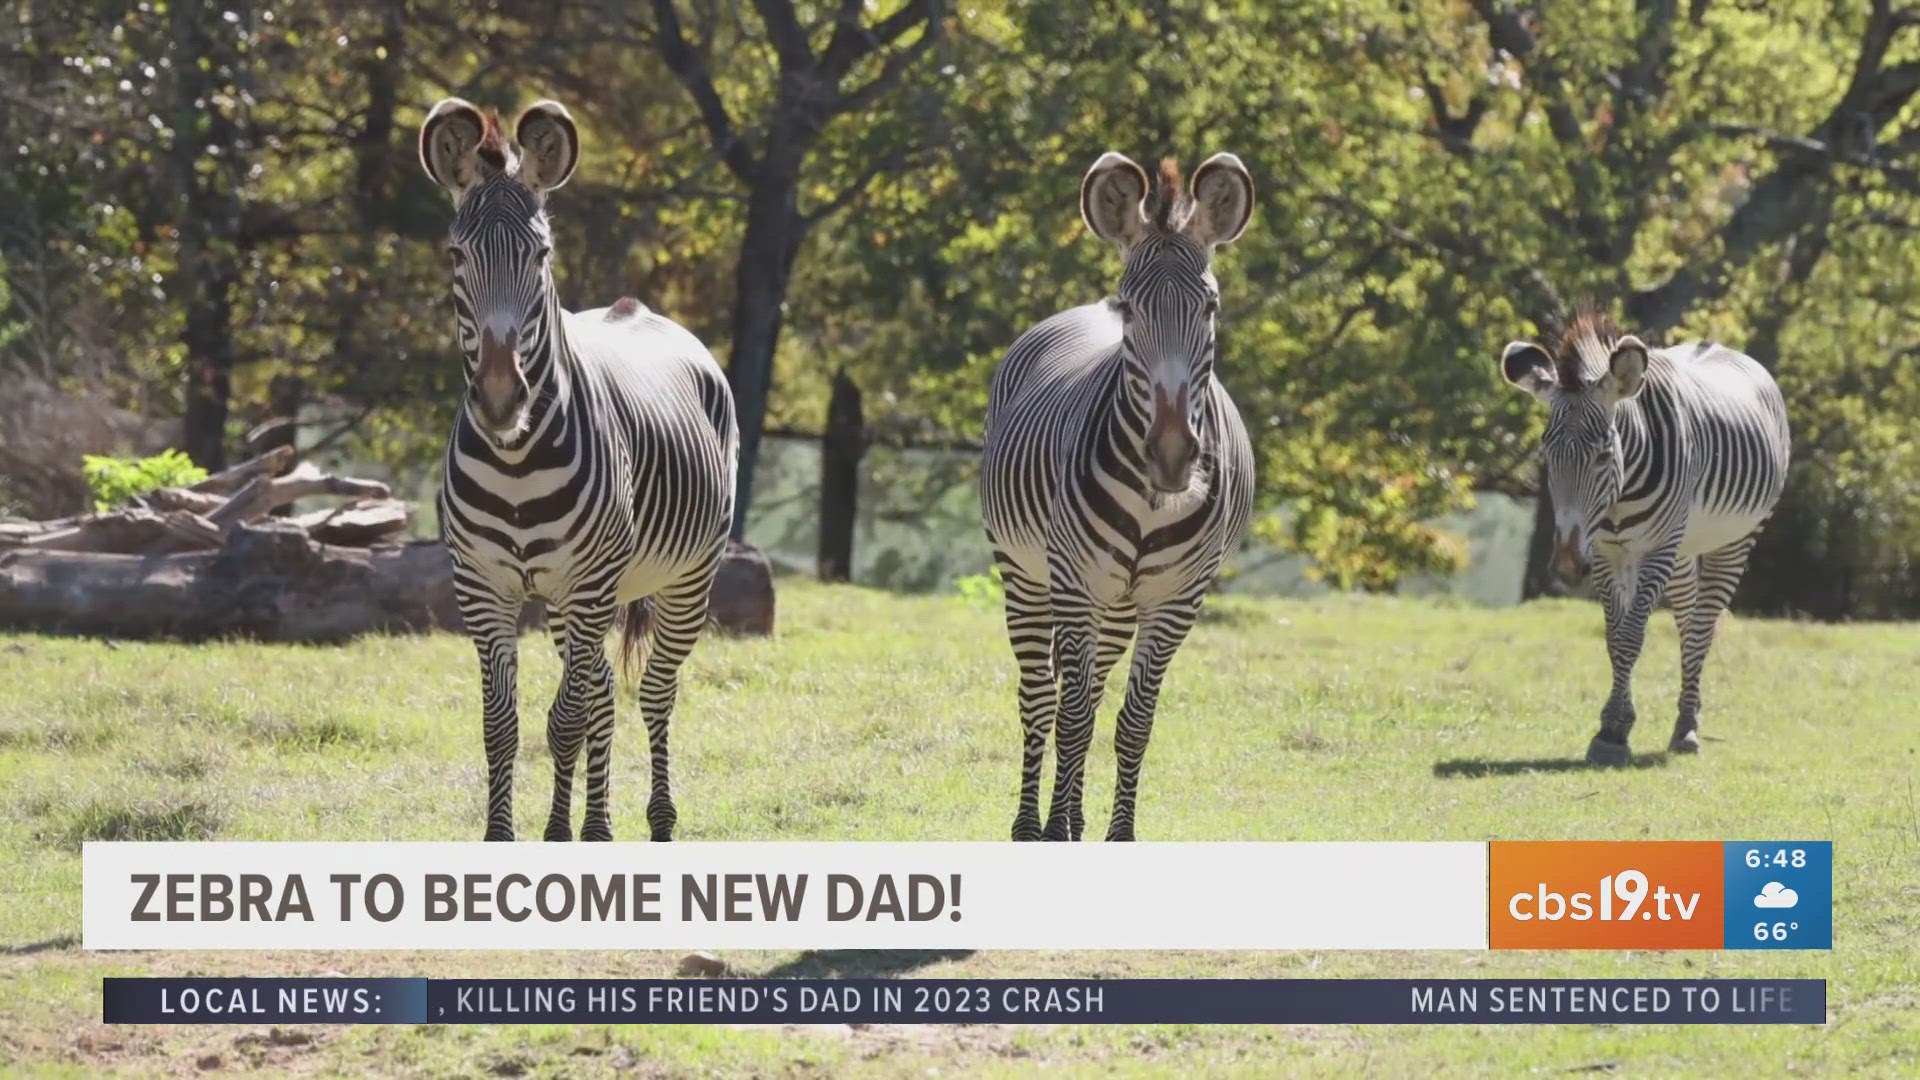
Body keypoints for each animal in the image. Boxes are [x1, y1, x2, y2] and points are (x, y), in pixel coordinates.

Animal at [418, 98, 737, 841]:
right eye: (455, 255)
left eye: (541, 255)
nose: (501, 400)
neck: (515, 460)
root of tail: (639, 308)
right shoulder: (482, 586)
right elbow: (502, 726)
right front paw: (506, 837)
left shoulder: (589, 583)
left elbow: (564, 721)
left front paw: (562, 836)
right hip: (576, 602)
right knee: (600, 694)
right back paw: (595, 822)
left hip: (683, 578)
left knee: (652, 691)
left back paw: (654, 819)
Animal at [980, 153, 1257, 841]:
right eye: (1131, 309)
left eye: (1211, 306)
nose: (1172, 455)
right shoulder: (1075, 583)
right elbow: (1073, 718)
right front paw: (1054, 833)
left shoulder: (1177, 600)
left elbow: (1133, 722)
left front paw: (1116, 835)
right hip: (1026, 573)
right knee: (1041, 699)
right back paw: (1031, 824)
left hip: (1118, 603)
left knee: (1093, 689)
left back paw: (1071, 815)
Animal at [1501, 309, 1790, 764]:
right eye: (1546, 453)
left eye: (1603, 454)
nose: (1566, 564)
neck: (1620, 495)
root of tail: (1720, 347)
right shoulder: (1605, 552)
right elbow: (1615, 637)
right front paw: (1613, 727)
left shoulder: (1655, 549)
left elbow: (1633, 635)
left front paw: (1614, 731)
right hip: (1683, 548)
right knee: (1688, 619)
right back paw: (1687, 714)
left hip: (1734, 540)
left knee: (1703, 624)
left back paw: (1687, 728)